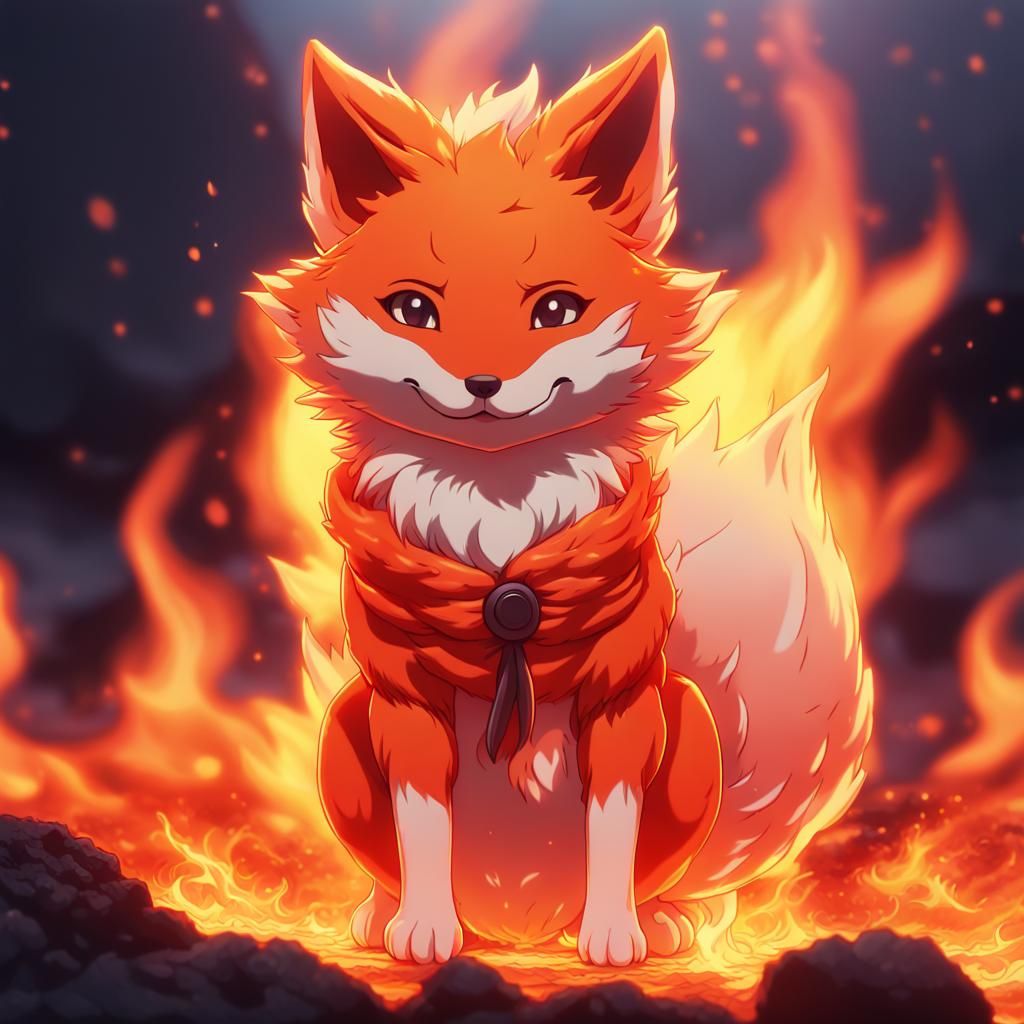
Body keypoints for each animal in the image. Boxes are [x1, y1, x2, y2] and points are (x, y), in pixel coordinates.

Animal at [250, 28, 873, 967]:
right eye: (412, 310)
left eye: (555, 311)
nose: (483, 383)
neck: (500, 531)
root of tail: (521, 920)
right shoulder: (403, 700)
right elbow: (422, 827)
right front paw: (424, 928)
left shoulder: (621, 698)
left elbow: (612, 829)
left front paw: (613, 933)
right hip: (344, 727)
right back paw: (388, 912)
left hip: (688, 724)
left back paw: (655, 918)